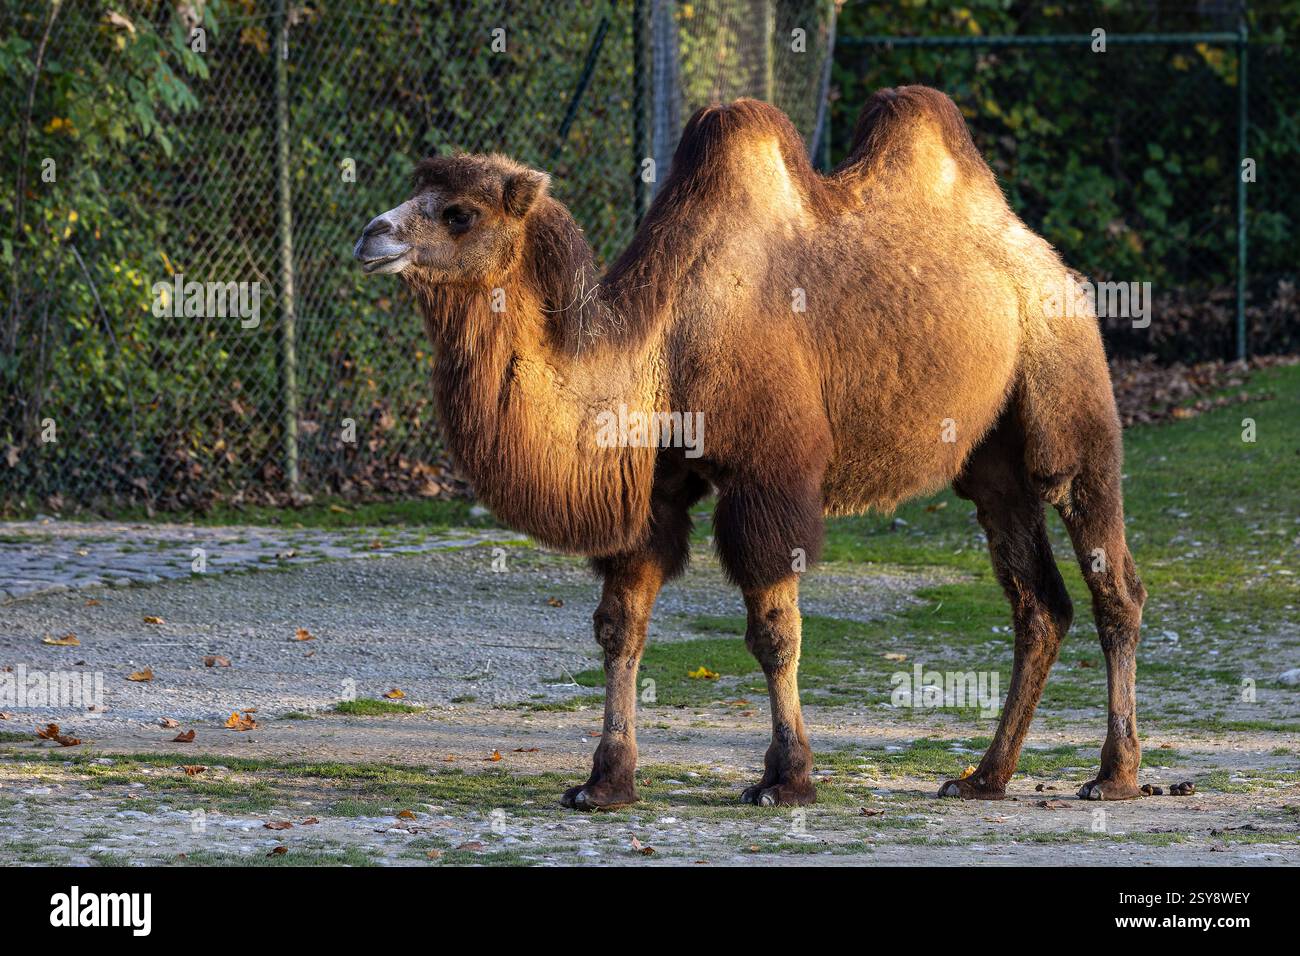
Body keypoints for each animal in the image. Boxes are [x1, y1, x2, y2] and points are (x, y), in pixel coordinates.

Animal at [353, 85, 1146, 808]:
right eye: (418, 194)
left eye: (459, 213)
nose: (371, 235)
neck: (661, 337)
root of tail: (1051, 262)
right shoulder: (657, 486)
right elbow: (619, 628)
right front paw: (605, 782)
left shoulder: (768, 475)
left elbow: (774, 633)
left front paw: (786, 779)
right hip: (992, 461)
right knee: (1037, 603)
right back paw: (984, 777)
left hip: (1068, 387)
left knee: (1111, 578)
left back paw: (1113, 775)